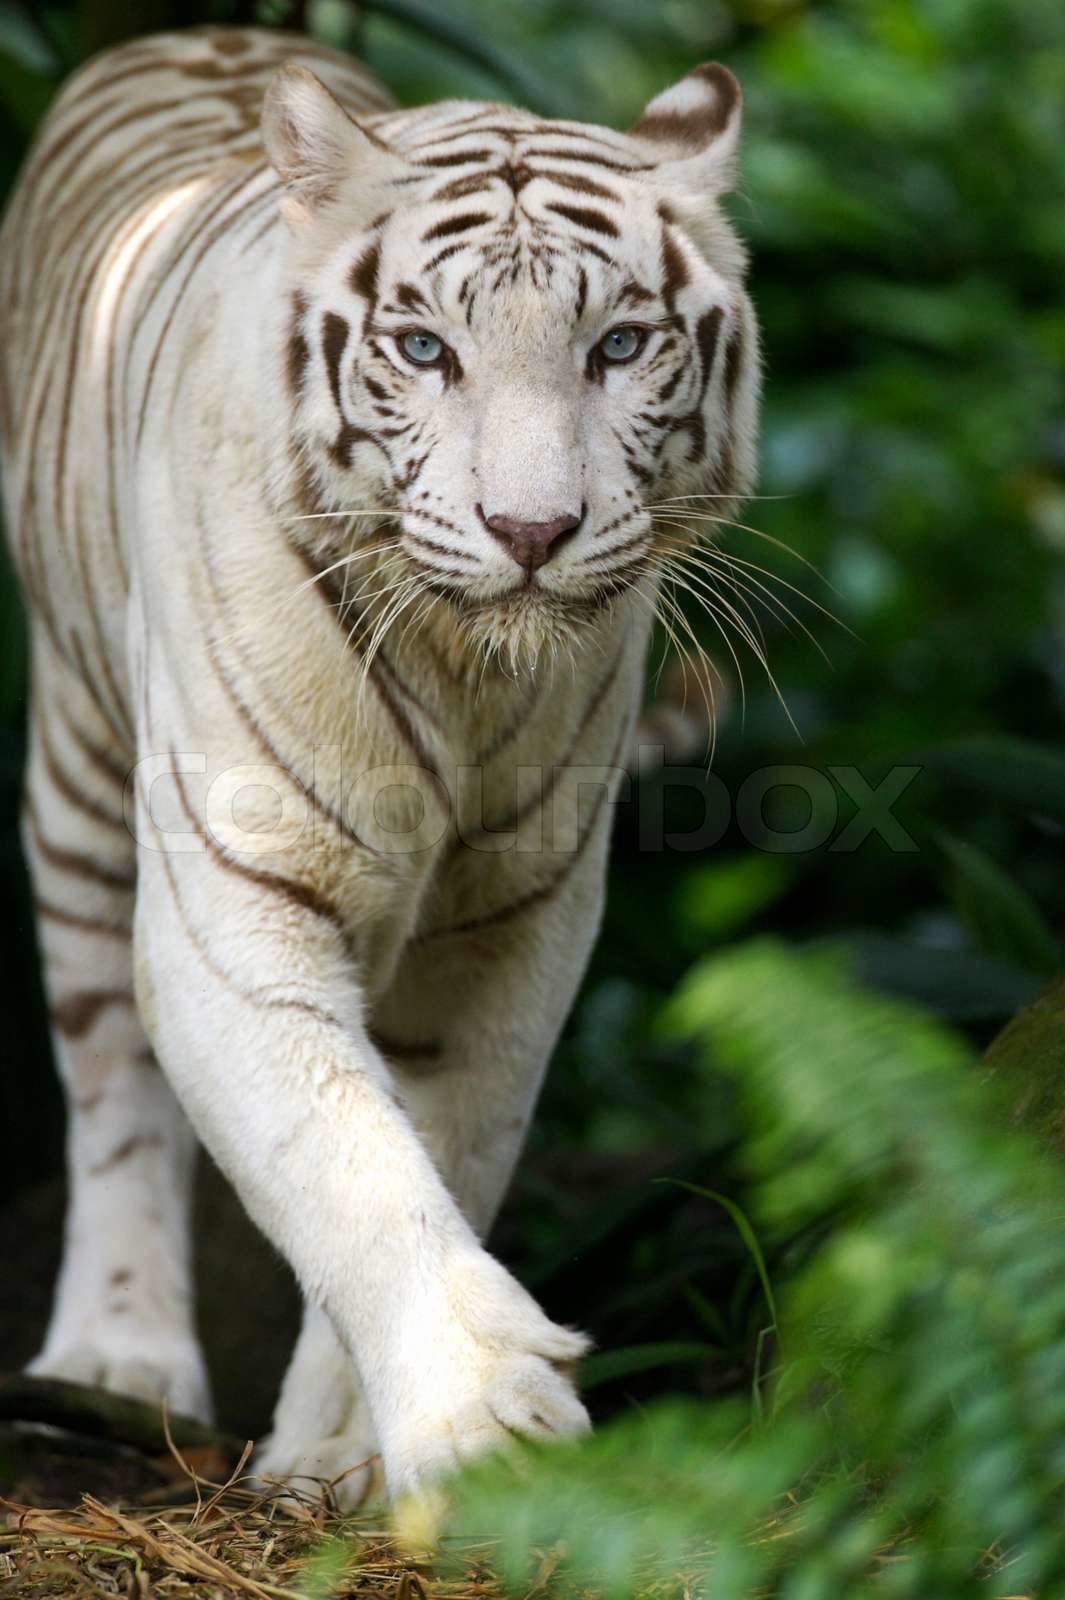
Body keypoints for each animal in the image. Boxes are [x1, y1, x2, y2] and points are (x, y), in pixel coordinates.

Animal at [0, 25, 760, 1504]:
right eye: (424, 348)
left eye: (618, 345)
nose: (531, 530)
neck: (469, 671)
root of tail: (183, 29)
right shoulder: (234, 898)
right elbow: (342, 1156)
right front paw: (479, 1415)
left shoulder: (513, 920)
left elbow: (442, 1147)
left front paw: (345, 1451)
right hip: (75, 771)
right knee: (109, 1081)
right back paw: (119, 1352)